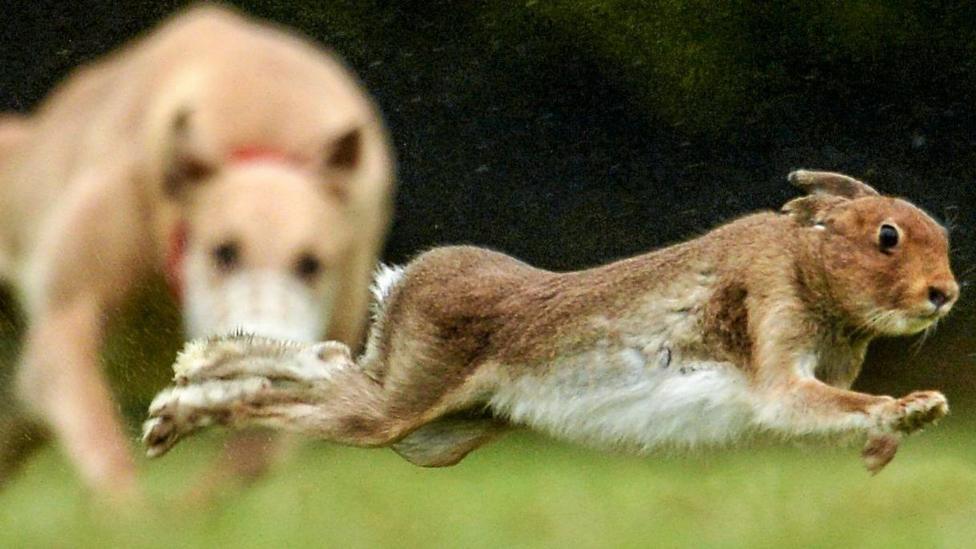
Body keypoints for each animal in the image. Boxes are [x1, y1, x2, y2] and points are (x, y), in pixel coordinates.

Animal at [142, 170, 957, 473]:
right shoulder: (778, 354)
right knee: (300, 394)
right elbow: (819, 402)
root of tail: (405, 282)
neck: (807, 264)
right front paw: (914, 407)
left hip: (435, 432)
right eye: (887, 236)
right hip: (400, 405)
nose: (945, 293)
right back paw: (171, 417)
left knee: (324, 365)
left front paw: (889, 442)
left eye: (942, 233)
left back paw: (180, 393)